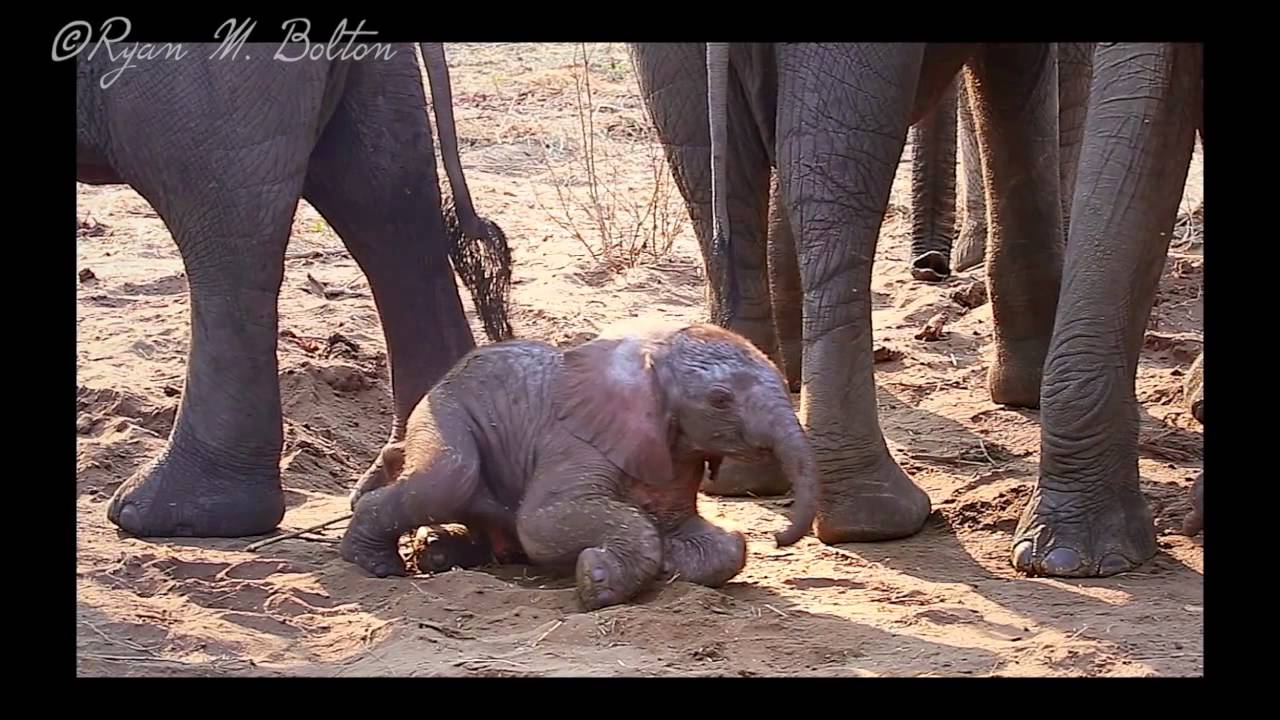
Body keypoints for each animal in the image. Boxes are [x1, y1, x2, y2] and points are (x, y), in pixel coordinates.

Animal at [338, 319, 819, 611]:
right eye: (720, 400)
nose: (779, 537)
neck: (649, 354)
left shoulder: (673, 457)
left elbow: (725, 546)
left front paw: (666, 564)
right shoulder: (576, 444)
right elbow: (540, 523)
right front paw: (595, 579)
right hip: (446, 411)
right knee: (448, 478)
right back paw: (377, 564)